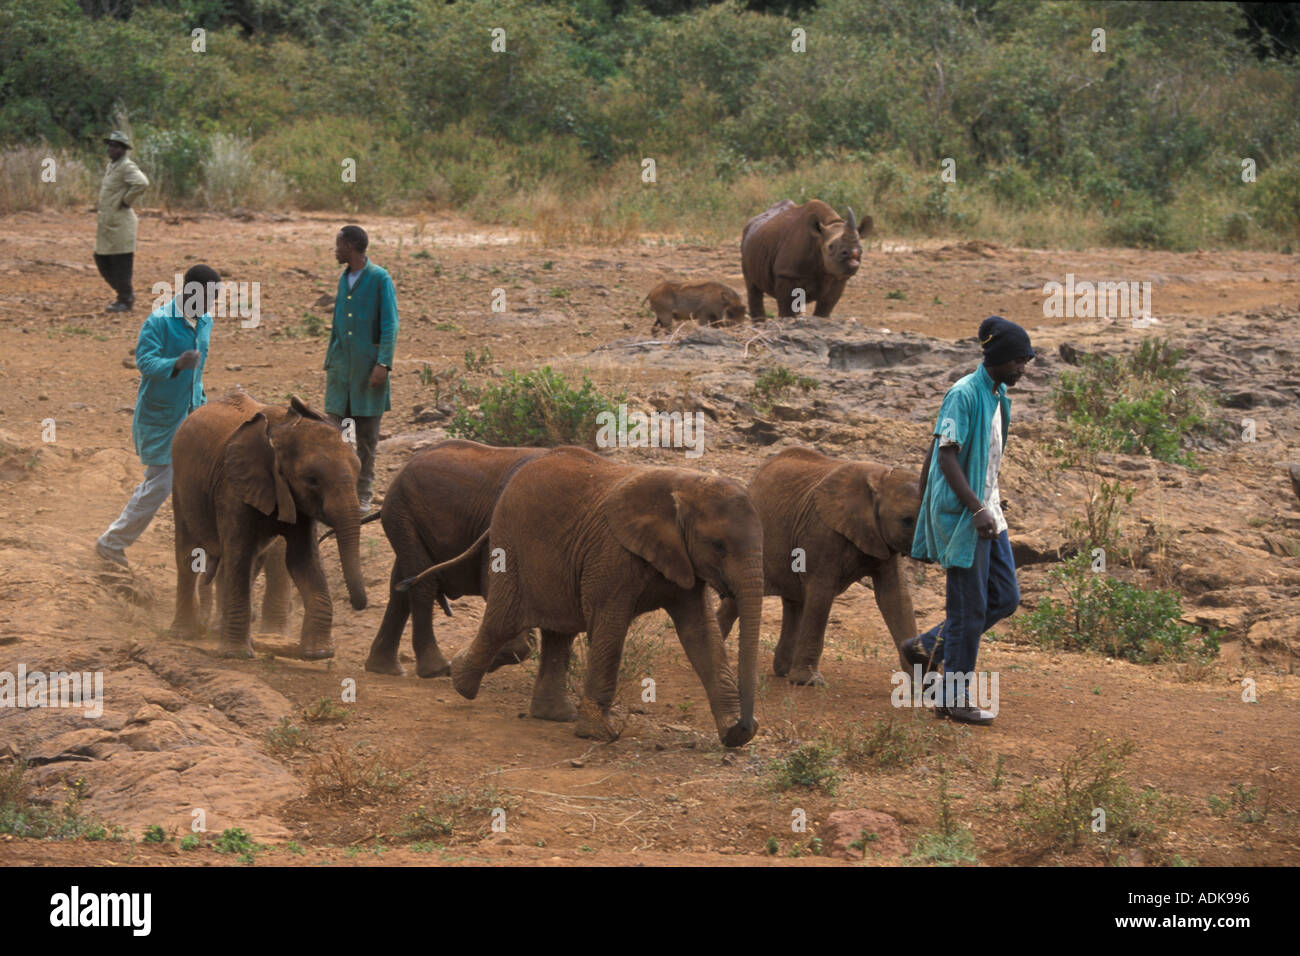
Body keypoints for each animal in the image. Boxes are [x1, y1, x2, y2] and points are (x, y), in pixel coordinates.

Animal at [169, 391, 367, 658]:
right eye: (312, 480)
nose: (358, 604)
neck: (281, 430)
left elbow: (301, 558)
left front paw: (319, 654)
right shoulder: (232, 487)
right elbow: (240, 555)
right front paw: (237, 655)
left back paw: (220, 632)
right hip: (181, 485)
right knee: (188, 553)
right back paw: (184, 634)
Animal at [363, 439, 548, 678]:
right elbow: (494, 583)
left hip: (405, 518)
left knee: (402, 582)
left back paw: (385, 668)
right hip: (401, 513)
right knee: (421, 581)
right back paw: (438, 669)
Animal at [397, 446, 763, 747]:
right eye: (718, 546)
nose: (748, 725)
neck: (687, 482)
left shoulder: (683, 561)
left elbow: (701, 633)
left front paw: (734, 734)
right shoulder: (612, 556)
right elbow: (610, 627)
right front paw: (599, 734)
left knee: (560, 630)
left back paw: (554, 715)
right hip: (511, 548)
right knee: (503, 621)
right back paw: (460, 680)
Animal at [717, 446, 921, 686]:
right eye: (907, 520)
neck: (881, 478)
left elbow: (895, 597)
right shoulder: (821, 530)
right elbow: (822, 591)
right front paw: (810, 682)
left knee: (794, 602)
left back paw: (783, 671)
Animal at [741, 199, 873, 320]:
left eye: (861, 248)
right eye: (830, 247)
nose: (853, 253)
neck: (819, 239)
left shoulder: (838, 279)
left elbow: (825, 309)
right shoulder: (786, 274)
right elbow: (786, 309)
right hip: (747, 240)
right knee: (752, 286)